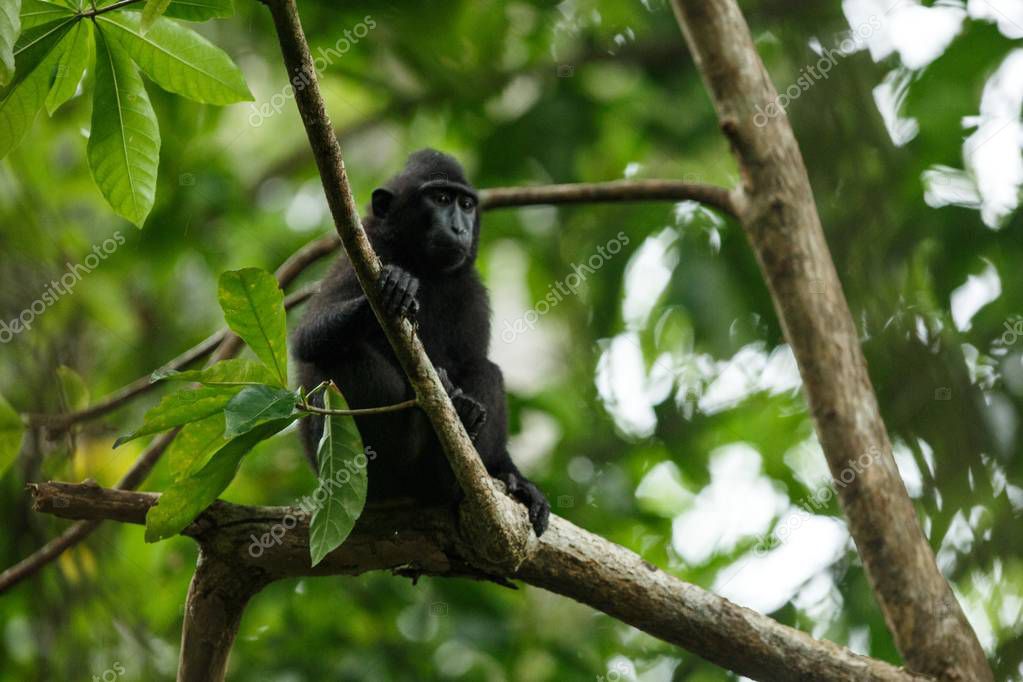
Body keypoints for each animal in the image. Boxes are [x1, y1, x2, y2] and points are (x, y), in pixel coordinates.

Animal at [293, 149, 550, 536]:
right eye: (440, 199)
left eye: (466, 204)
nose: (460, 228)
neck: (424, 266)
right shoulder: (361, 255)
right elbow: (306, 339)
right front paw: (394, 287)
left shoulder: (472, 290)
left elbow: (474, 359)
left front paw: (517, 479)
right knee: (338, 356)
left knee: (487, 370)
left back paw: (460, 436)